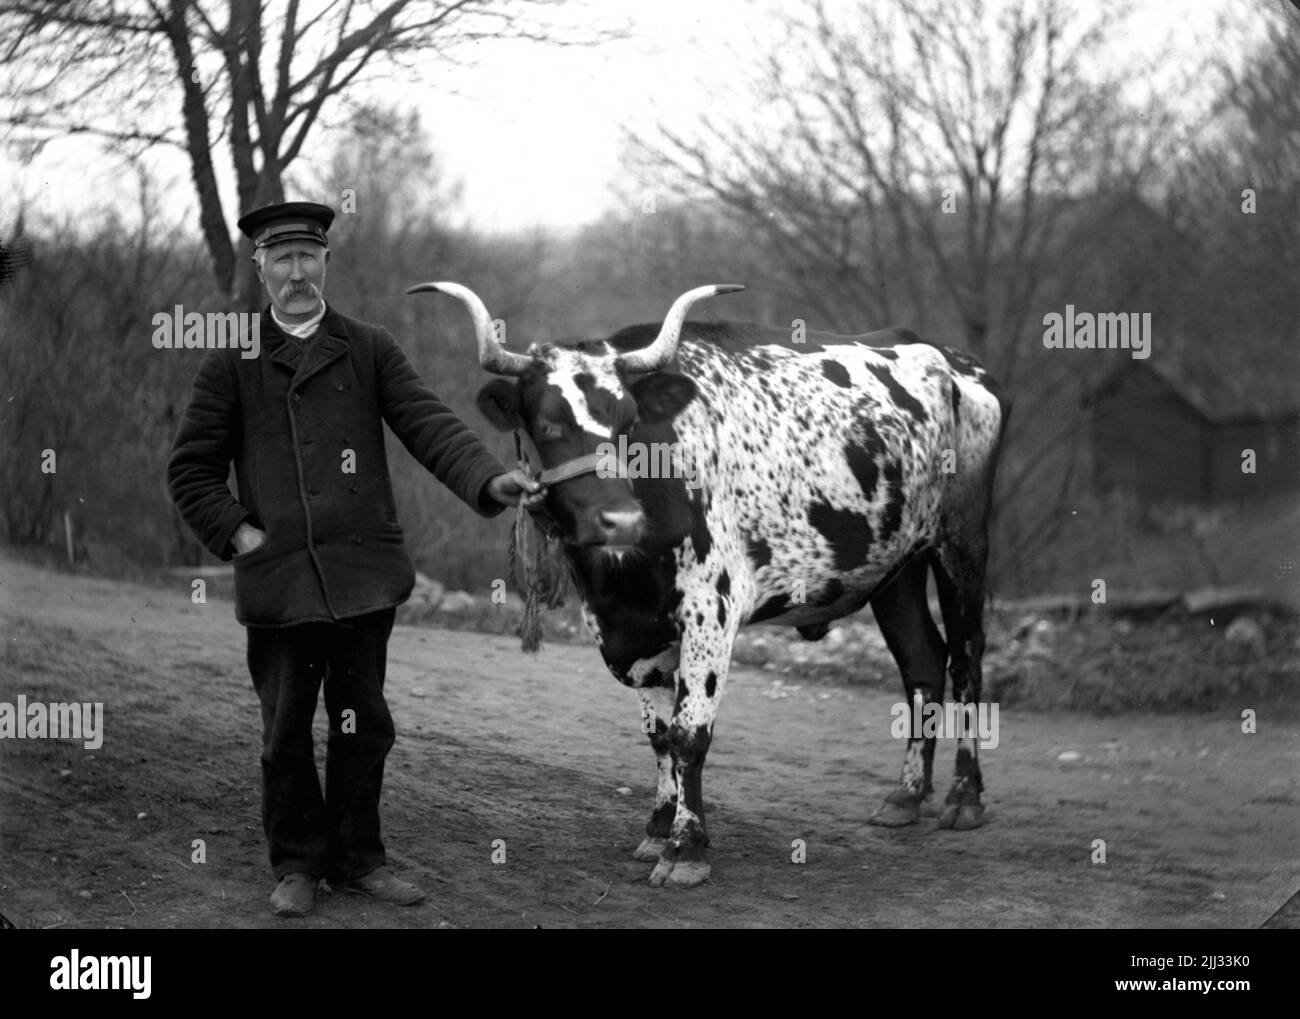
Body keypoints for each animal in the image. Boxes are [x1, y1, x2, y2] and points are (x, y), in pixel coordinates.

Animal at [409, 281, 1010, 888]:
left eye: (627, 422)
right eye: (549, 425)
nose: (620, 520)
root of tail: (952, 361)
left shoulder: (709, 609)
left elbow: (689, 734)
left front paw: (686, 848)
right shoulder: (632, 630)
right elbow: (658, 735)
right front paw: (657, 828)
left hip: (961, 546)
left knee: (966, 662)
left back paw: (964, 797)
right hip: (896, 570)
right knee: (923, 665)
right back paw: (906, 796)